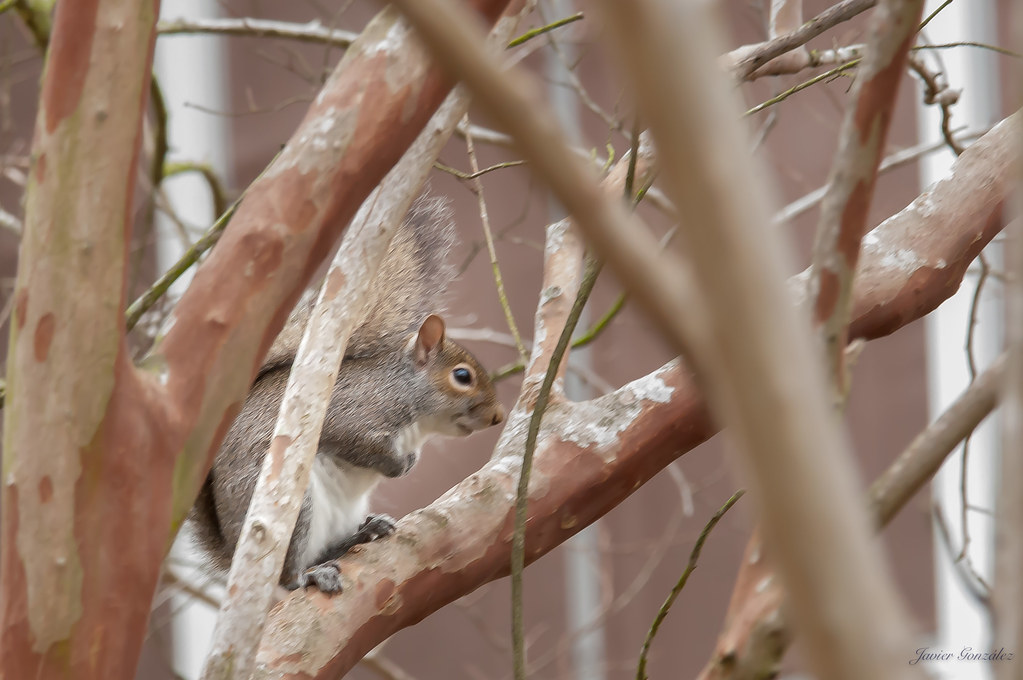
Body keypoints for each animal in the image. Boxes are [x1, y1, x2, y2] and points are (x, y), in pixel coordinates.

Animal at [188, 195, 505, 594]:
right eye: (462, 376)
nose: (498, 415)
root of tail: (234, 554)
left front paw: (410, 462)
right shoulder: (351, 413)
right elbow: (356, 443)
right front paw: (397, 465)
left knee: (323, 550)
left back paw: (361, 533)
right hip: (291, 509)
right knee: (290, 576)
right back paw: (311, 576)